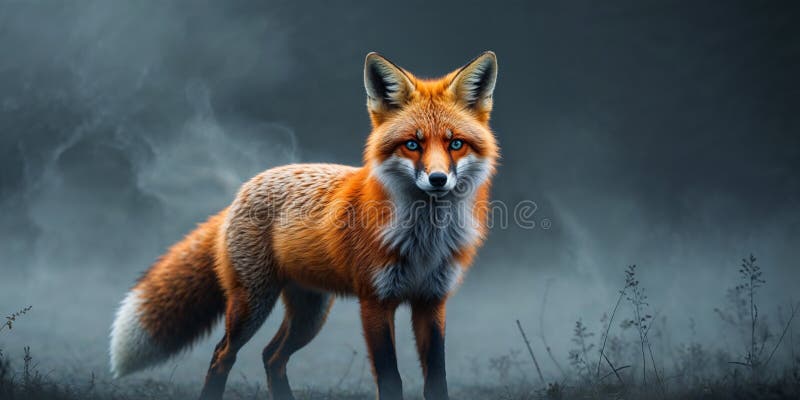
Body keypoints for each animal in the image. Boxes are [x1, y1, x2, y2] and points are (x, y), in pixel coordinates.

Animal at [109, 51, 499, 400]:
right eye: (413, 144)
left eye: (455, 143)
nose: (438, 180)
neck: (424, 241)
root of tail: (244, 189)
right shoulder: (375, 301)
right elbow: (391, 381)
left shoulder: (432, 301)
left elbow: (437, 381)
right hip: (253, 304)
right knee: (223, 355)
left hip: (310, 314)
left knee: (271, 356)